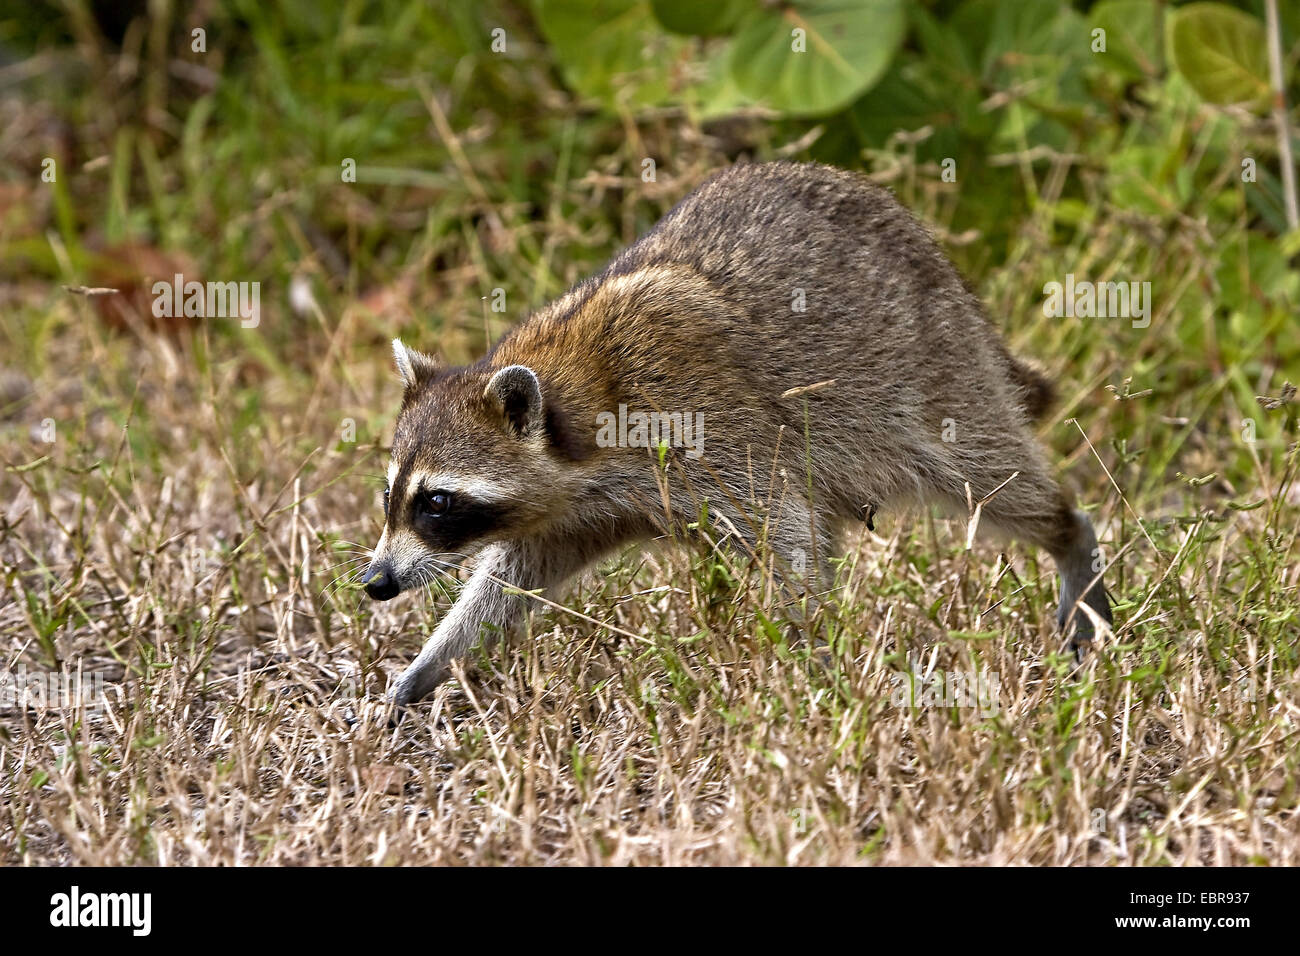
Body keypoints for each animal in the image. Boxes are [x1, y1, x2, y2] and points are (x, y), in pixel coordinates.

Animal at [364, 161, 1112, 706]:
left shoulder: (711, 427)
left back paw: (1070, 536)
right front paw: (435, 657)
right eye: (389, 497)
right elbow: (513, 579)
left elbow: (783, 533)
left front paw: (810, 652)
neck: (575, 397)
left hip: (934, 379)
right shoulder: (576, 509)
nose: (376, 581)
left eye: (436, 503)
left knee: (993, 480)